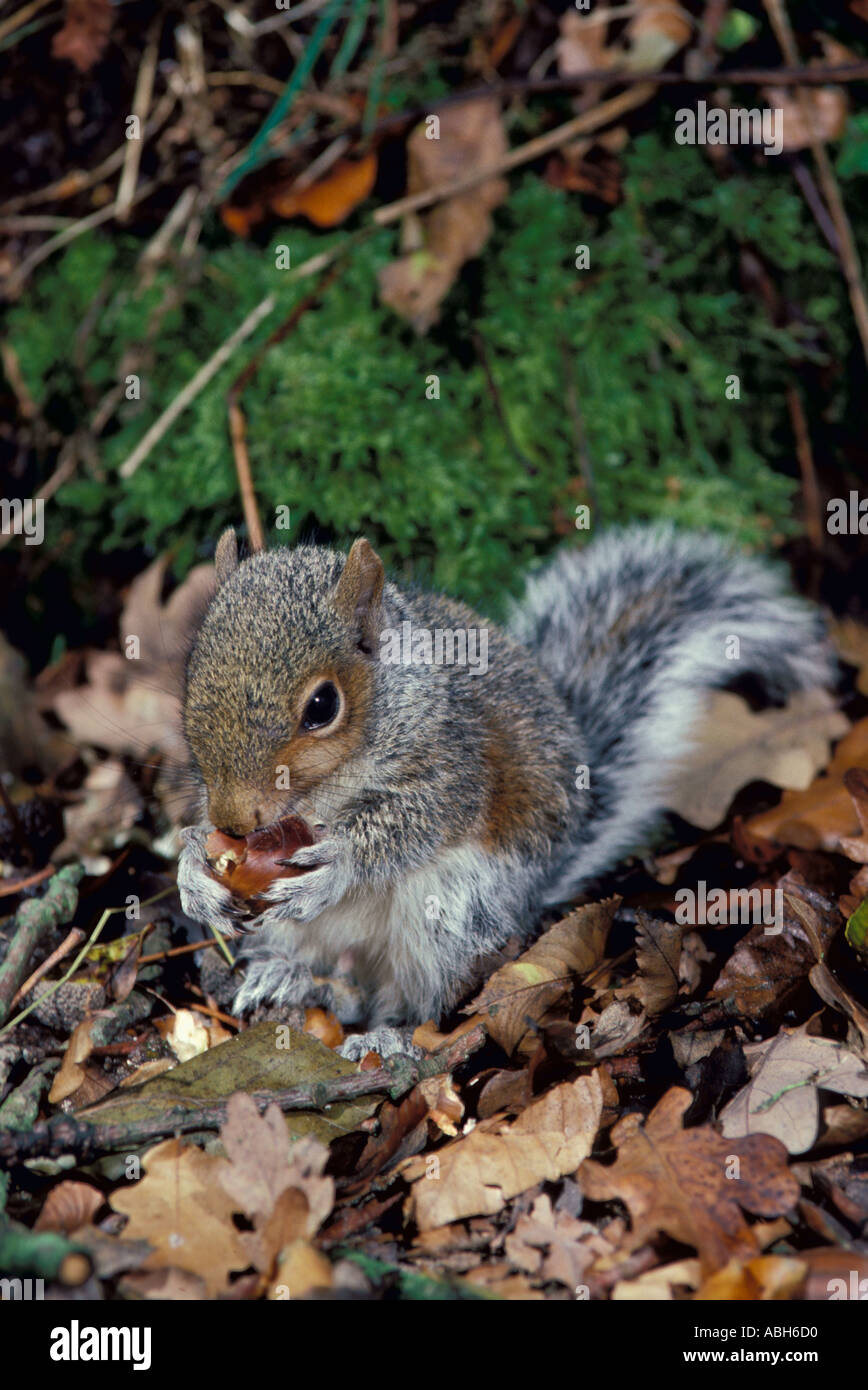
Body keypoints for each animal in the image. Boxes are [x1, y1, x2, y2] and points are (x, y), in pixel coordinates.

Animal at [177, 525, 833, 1058]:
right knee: (345, 982)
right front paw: (193, 868)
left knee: (416, 997)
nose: (233, 821)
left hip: (454, 907)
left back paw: (389, 1036)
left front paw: (338, 862)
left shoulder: (456, 761)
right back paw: (291, 976)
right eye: (192, 675)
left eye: (321, 706)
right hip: (301, 929)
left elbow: (418, 822)